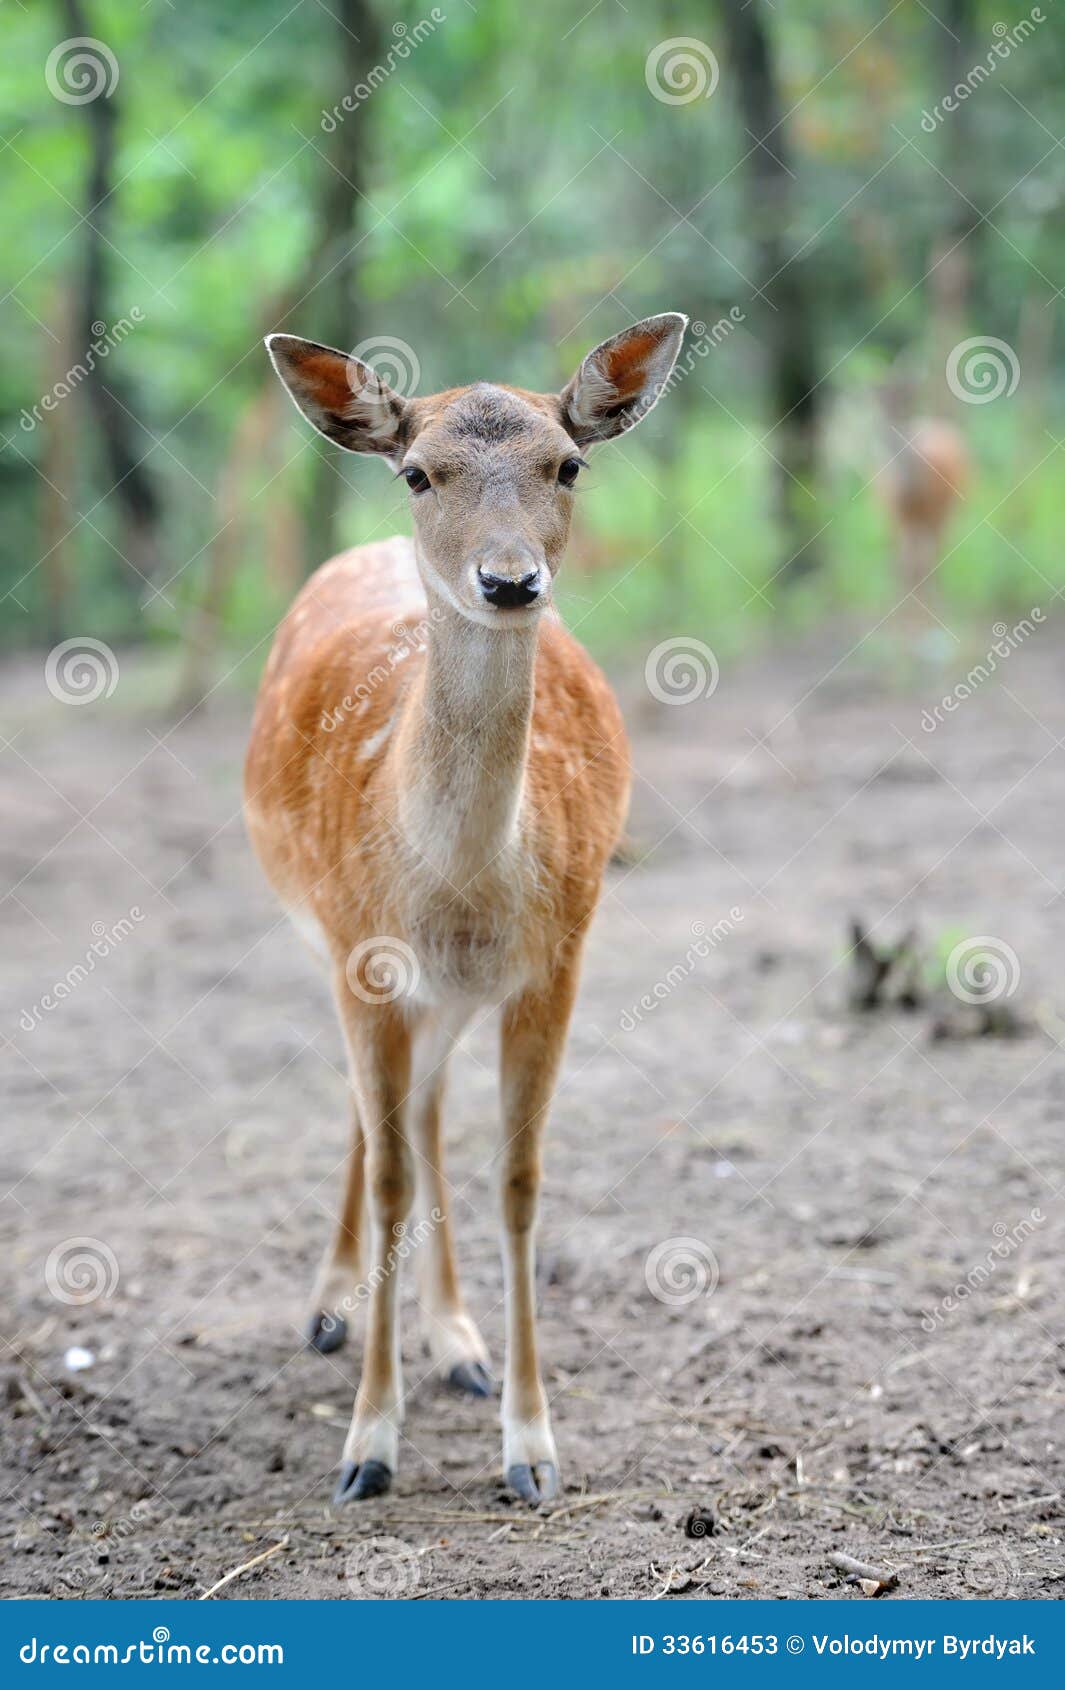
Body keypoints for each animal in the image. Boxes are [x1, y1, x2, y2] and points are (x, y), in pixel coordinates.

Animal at [244, 313, 687, 1505]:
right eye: (418, 473)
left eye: (568, 464)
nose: (508, 580)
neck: (459, 883)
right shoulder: (360, 955)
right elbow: (392, 1172)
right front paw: (366, 1447)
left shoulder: (558, 956)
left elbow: (518, 1179)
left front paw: (531, 1447)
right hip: (332, 943)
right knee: (388, 1121)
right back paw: (331, 1309)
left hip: (450, 994)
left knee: (431, 1111)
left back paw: (457, 1344)